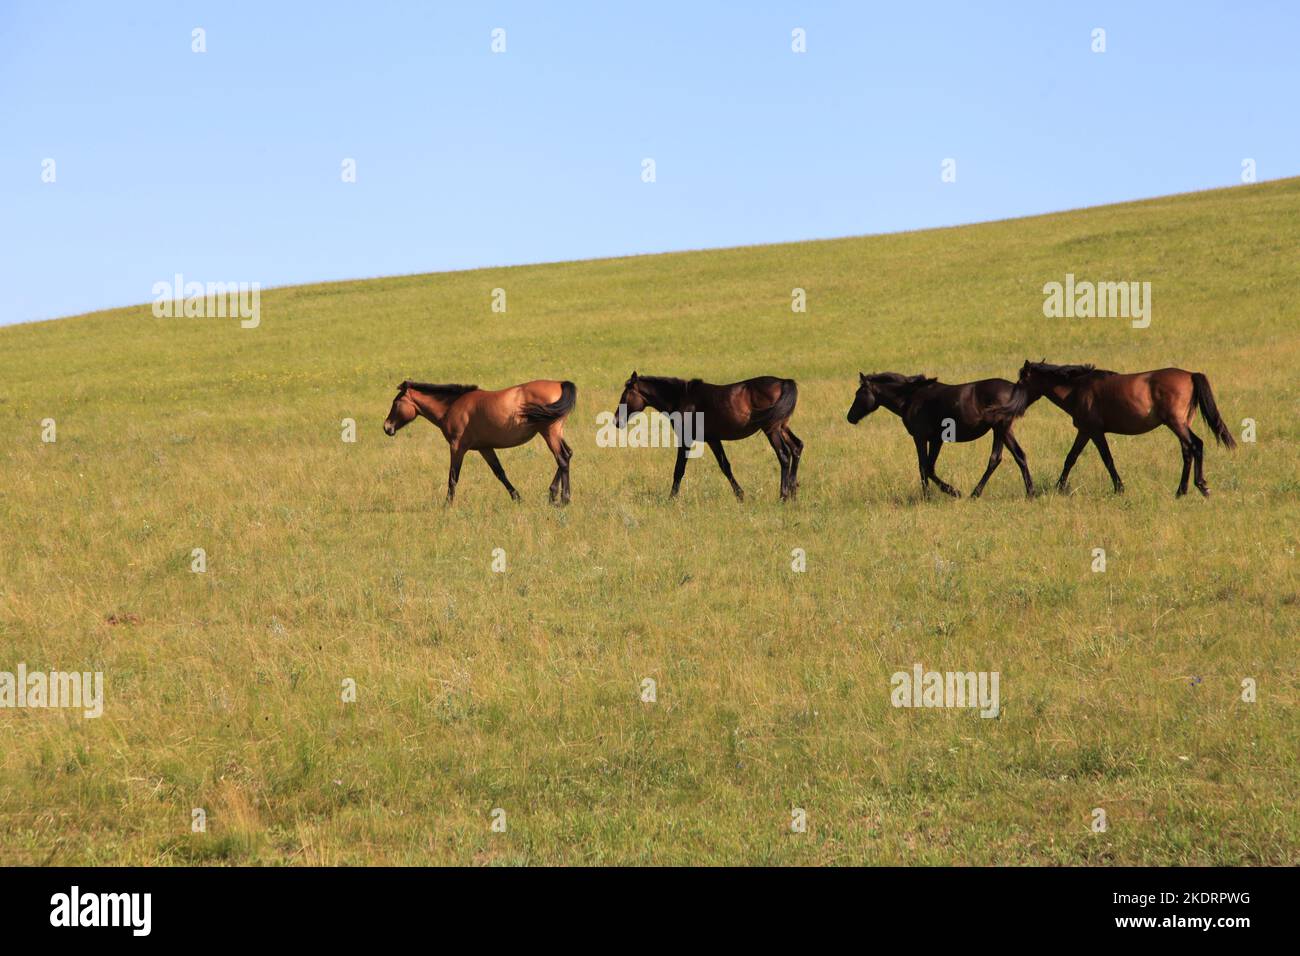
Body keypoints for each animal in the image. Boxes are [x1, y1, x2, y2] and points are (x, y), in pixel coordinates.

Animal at [383, 379, 576, 504]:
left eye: (396, 402)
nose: (387, 427)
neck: (452, 406)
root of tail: (560, 383)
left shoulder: (457, 448)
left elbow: (453, 477)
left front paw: (447, 504)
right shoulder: (485, 448)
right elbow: (500, 473)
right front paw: (517, 498)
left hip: (549, 432)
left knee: (562, 459)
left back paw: (564, 499)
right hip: (554, 432)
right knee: (568, 455)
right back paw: (552, 495)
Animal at [613, 372, 802, 501]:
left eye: (625, 396)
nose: (616, 421)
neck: (682, 398)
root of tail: (784, 382)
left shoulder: (686, 439)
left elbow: (679, 469)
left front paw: (671, 498)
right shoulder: (713, 439)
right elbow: (725, 466)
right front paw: (740, 495)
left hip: (772, 430)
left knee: (784, 456)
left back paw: (783, 496)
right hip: (782, 427)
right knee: (797, 447)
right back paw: (793, 493)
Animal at [846, 372, 1035, 499]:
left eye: (859, 394)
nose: (850, 417)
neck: (911, 397)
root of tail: (1015, 387)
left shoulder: (922, 438)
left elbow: (925, 467)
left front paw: (943, 493)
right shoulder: (936, 440)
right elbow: (928, 467)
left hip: (1000, 429)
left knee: (997, 458)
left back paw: (974, 493)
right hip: (1004, 431)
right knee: (1017, 456)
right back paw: (1030, 493)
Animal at [993, 361, 1236, 496]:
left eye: (1021, 382)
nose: (1012, 407)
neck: (1077, 388)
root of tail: (1190, 375)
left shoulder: (1094, 432)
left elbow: (1107, 459)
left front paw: (1119, 488)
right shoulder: (1084, 432)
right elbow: (1070, 458)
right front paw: (1060, 487)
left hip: (1176, 423)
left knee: (1195, 446)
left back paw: (1200, 486)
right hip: (1181, 424)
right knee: (1188, 451)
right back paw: (1182, 490)